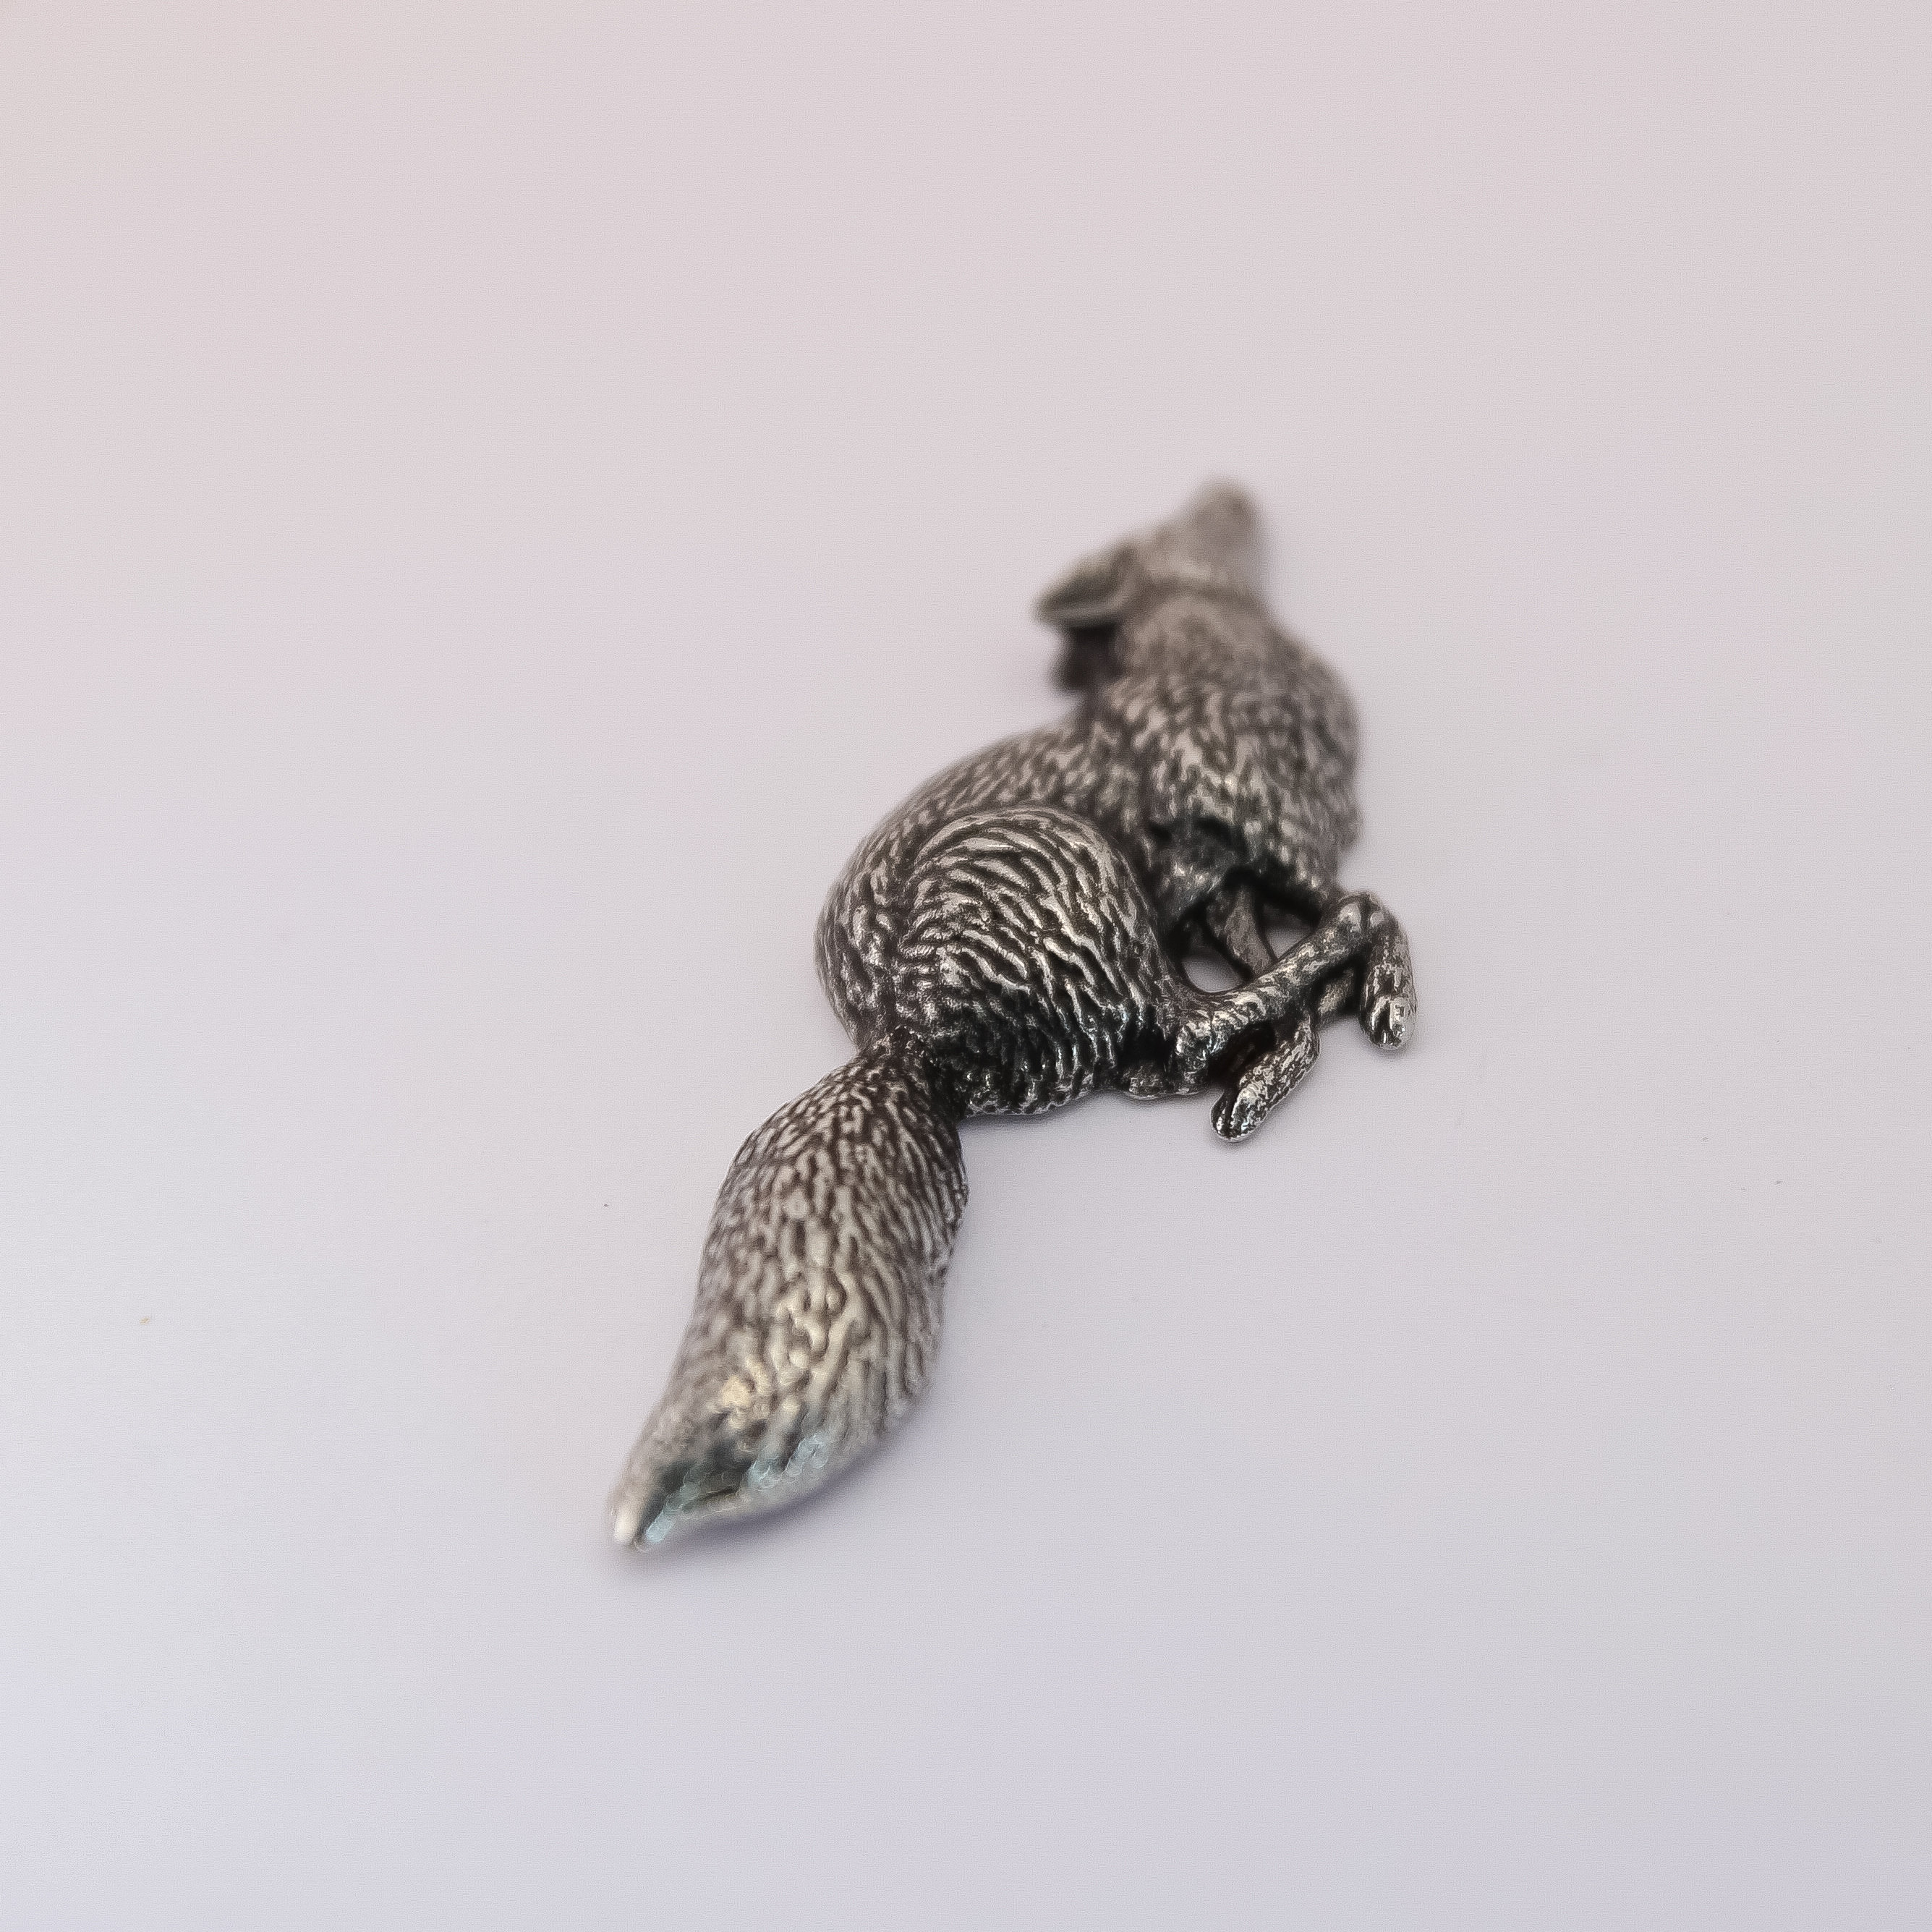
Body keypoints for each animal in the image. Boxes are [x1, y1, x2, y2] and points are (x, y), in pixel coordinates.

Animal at [609, 484, 1415, 1549]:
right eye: (1149, 535)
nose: (1229, 488)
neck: (1218, 652)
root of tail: (901, 1044)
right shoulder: (1258, 837)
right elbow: (1362, 907)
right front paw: (1383, 994)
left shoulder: (1219, 885)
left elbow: (1287, 948)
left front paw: (1310, 1028)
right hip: (1084, 868)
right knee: (1188, 1023)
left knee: (1183, 1035)